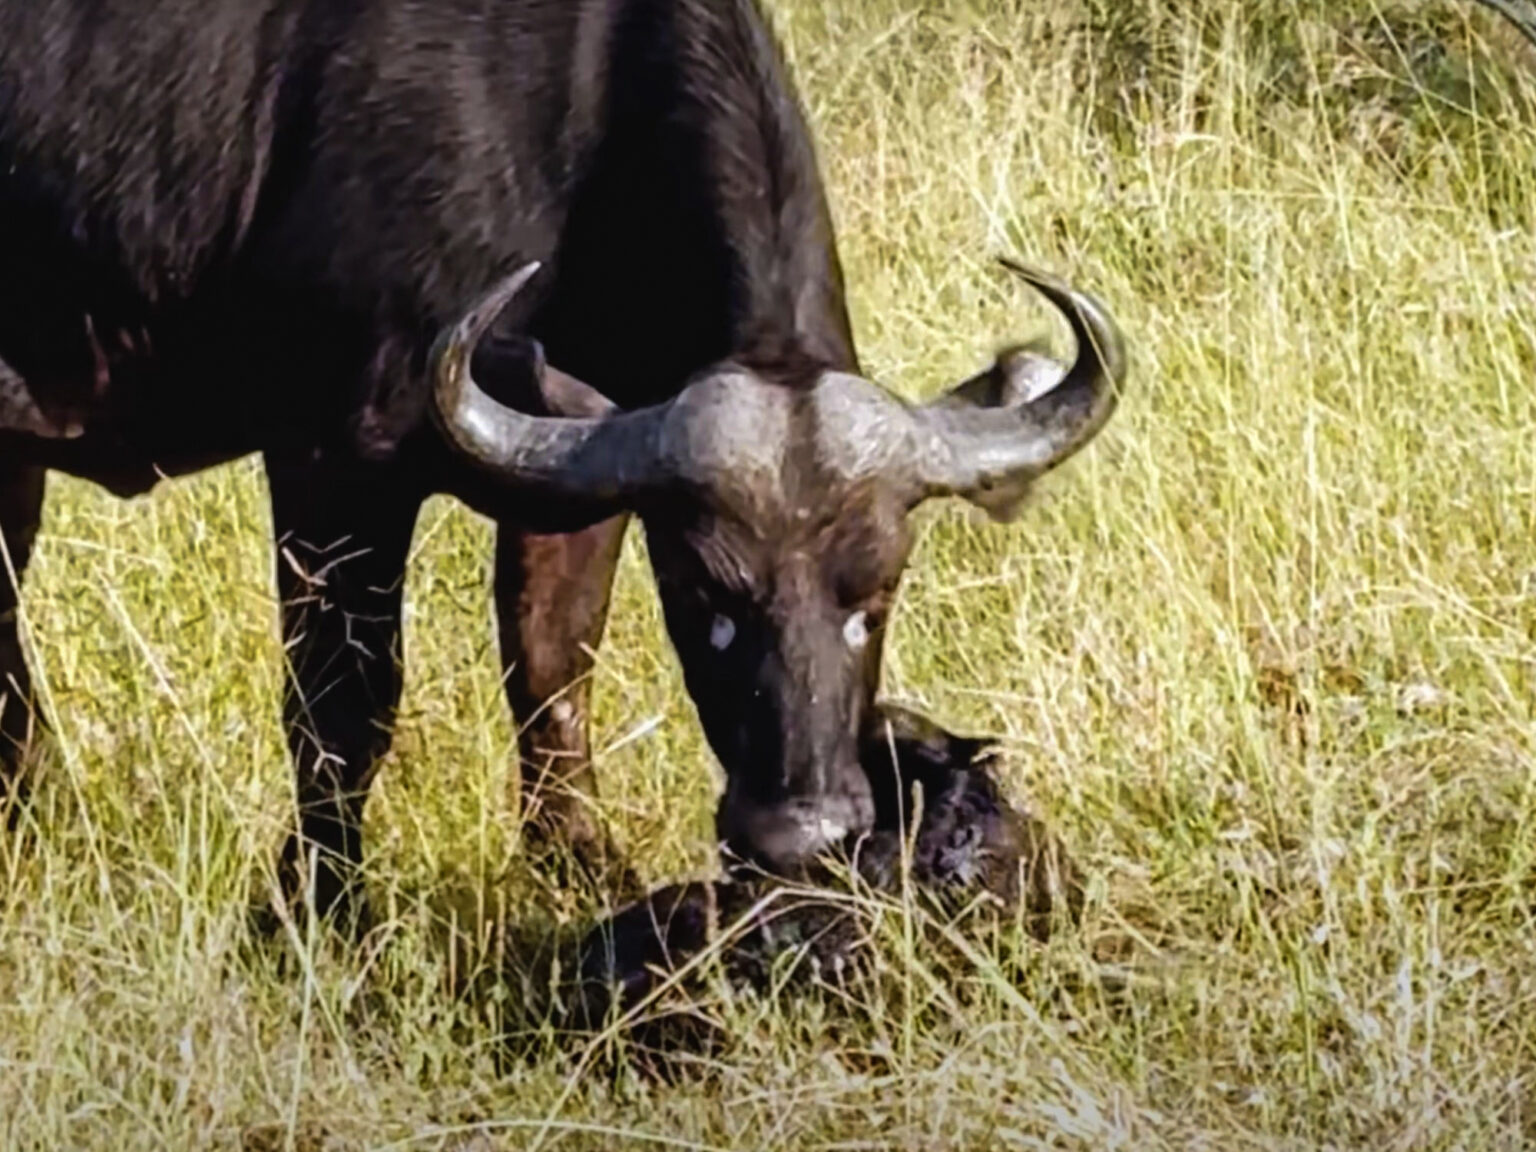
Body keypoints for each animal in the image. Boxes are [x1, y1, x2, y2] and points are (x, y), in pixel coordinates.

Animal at [0, 0, 1125, 928]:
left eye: (877, 598)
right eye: (705, 595)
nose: (798, 835)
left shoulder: (581, 486)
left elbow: (549, 676)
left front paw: (582, 869)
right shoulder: (334, 465)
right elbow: (341, 705)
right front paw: (316, 908)